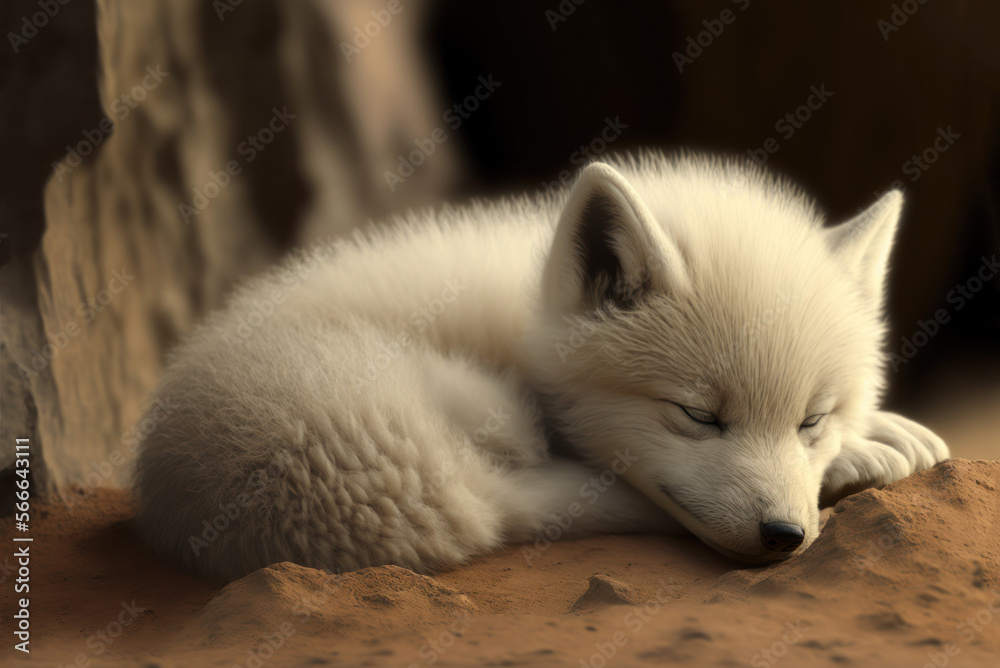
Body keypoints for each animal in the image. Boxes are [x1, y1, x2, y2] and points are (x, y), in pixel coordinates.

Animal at [133, 151, 948, 582]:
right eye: (698, 415)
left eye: (811, 421)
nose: (784, 535)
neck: (525, 319)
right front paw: (867, 452)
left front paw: (876, 435)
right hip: (467, 413)